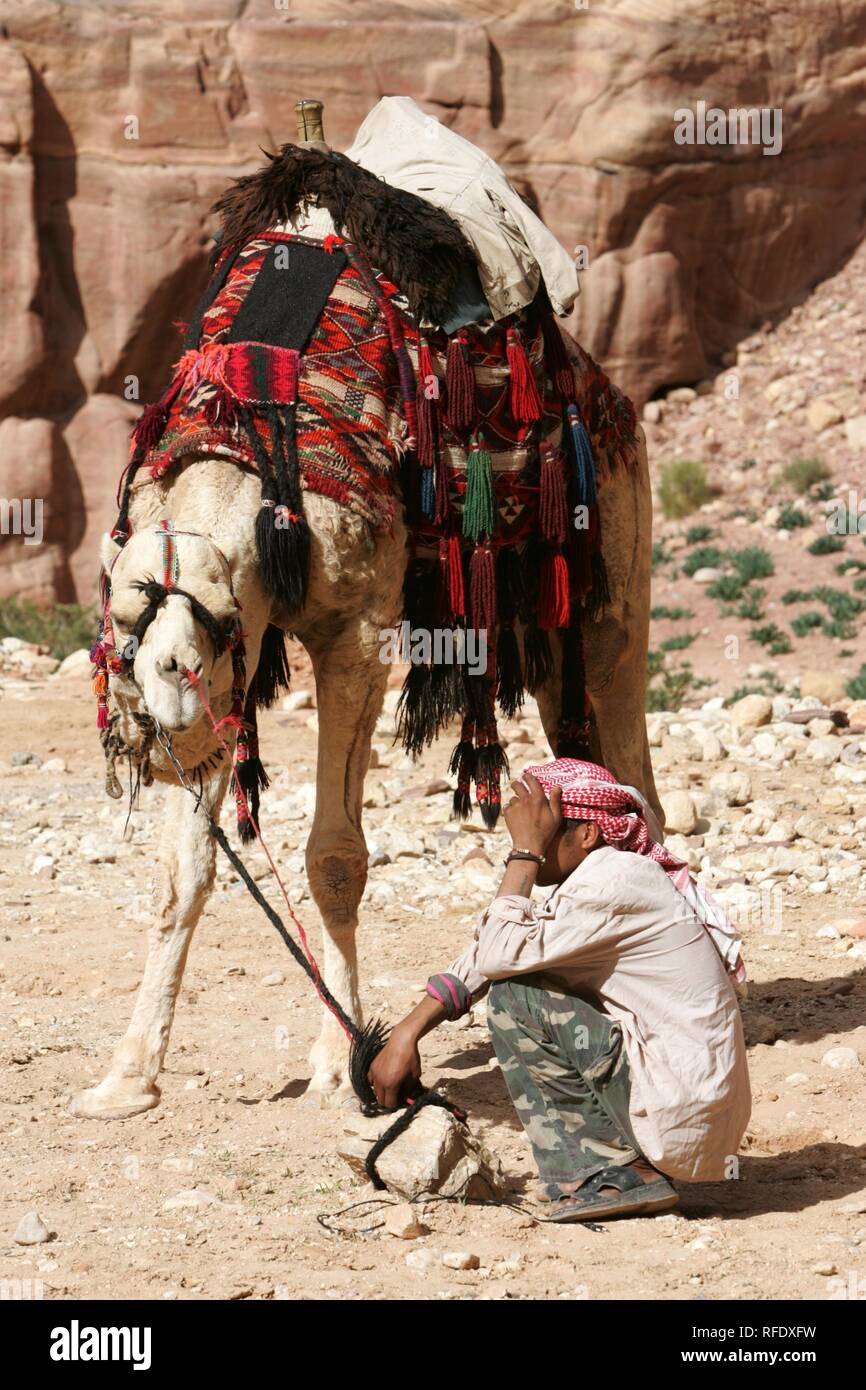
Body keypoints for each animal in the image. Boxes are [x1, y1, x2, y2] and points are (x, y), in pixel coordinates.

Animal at [69, 102, 660, 1121]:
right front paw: (126, 1077)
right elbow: (185, 869)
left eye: (195, 638)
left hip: (614, 557)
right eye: (126, 621)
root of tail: (602, 386)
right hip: (542, 618)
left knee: (630, 742)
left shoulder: (352, 634)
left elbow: (335, 856)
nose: (162, 719)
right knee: (575, 724)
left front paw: (336, 1062)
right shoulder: (247, 658)